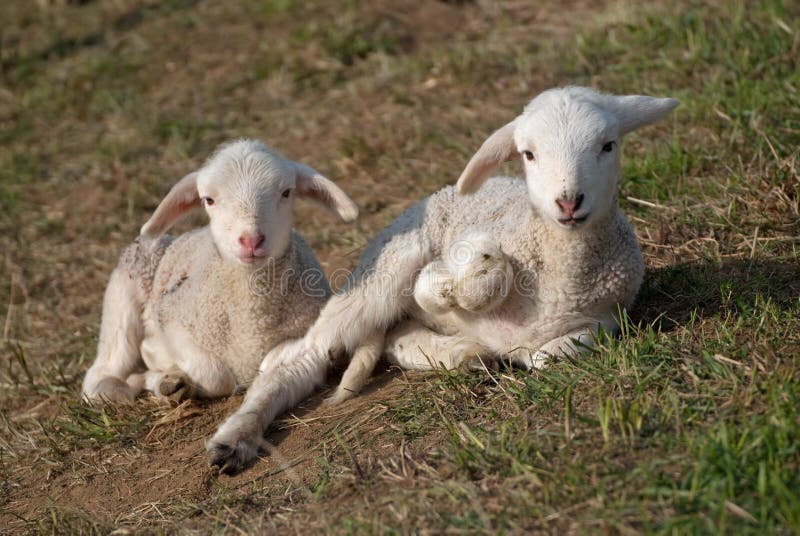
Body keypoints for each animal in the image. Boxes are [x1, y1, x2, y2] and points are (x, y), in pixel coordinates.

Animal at [81, 139, 358, 406]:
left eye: (286, 193)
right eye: (209, 200)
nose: (251, 240)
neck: (251, 326)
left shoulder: (313, 331)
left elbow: (281, 357)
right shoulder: (171, 324)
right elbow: (215, 375)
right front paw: (160, 368)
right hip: (125, 294)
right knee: (106, 366)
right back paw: (116, 389)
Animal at [206, 86, 678, 473]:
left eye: (608, 145)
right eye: (528, 154)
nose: (568, 201)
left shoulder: (609, 316)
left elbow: (549, 355)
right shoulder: (446, 257)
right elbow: (447, 280)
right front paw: (476, 283)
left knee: (394, 339)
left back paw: (463, 353)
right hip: (384, 271)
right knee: (298, 359)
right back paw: (235, 440)